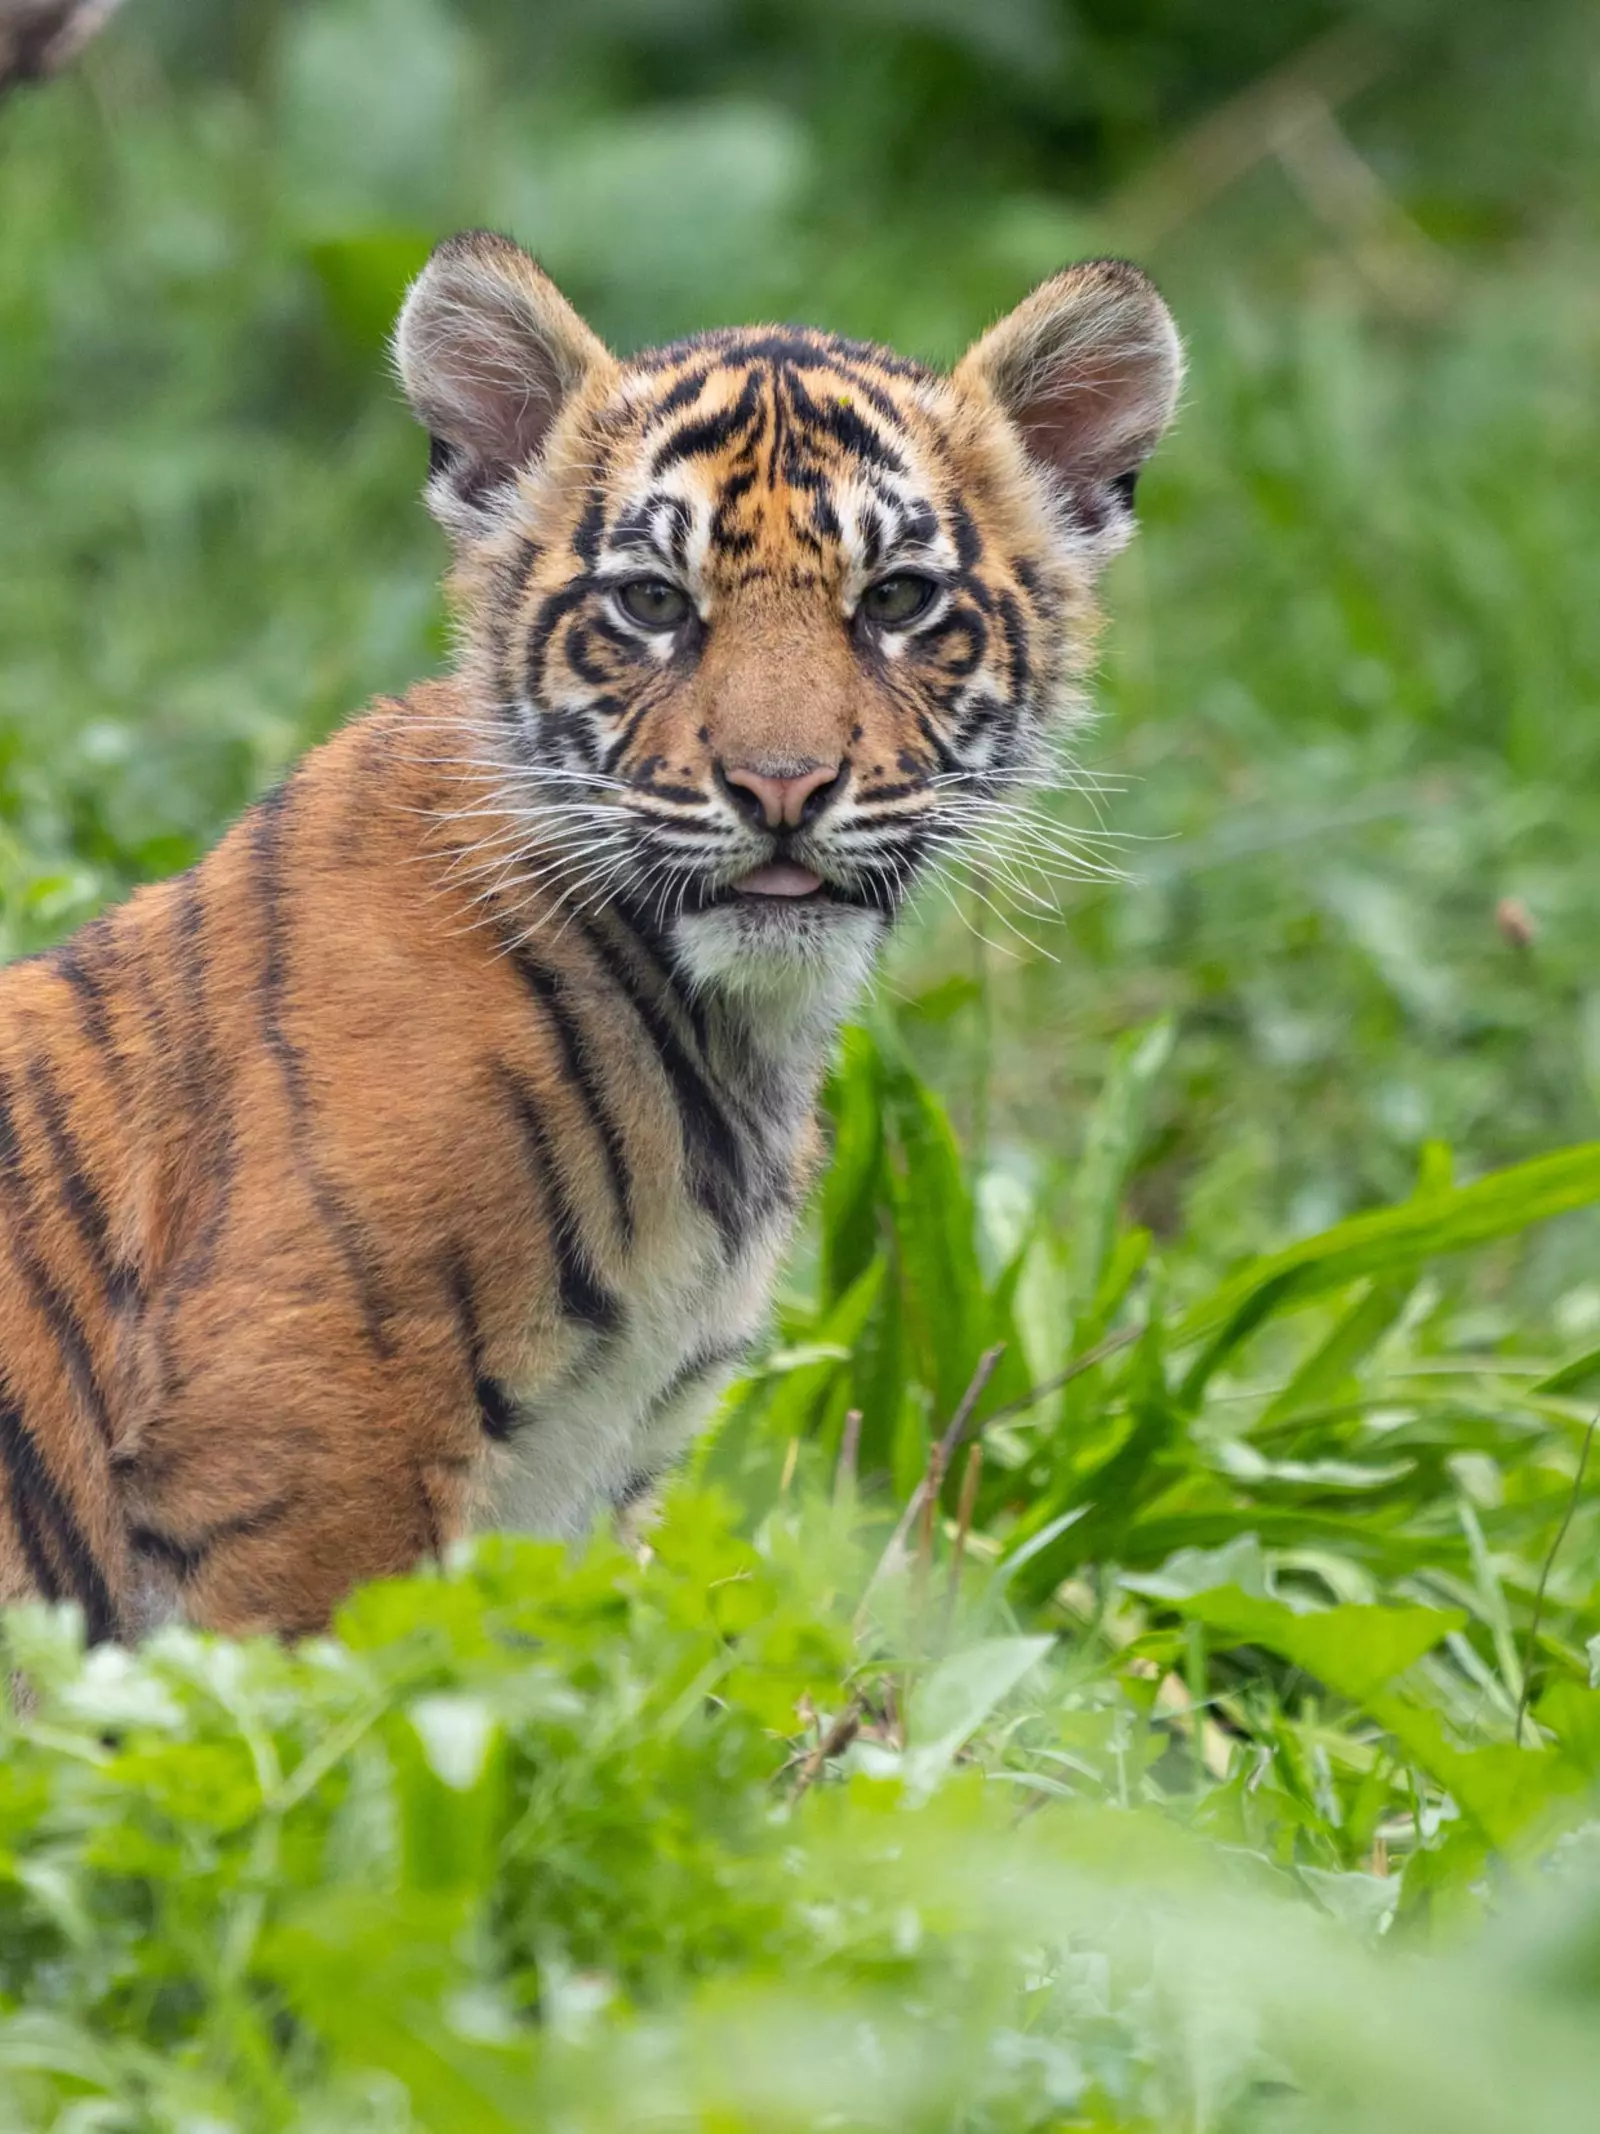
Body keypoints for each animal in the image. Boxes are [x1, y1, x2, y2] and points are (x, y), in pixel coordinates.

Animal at [0, 231, 1181, 1640]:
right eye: (653, 604)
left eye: (896, 598)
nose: (780, 786)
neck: (728, 1043)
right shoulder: (299, 1438)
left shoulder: (590, 1474)